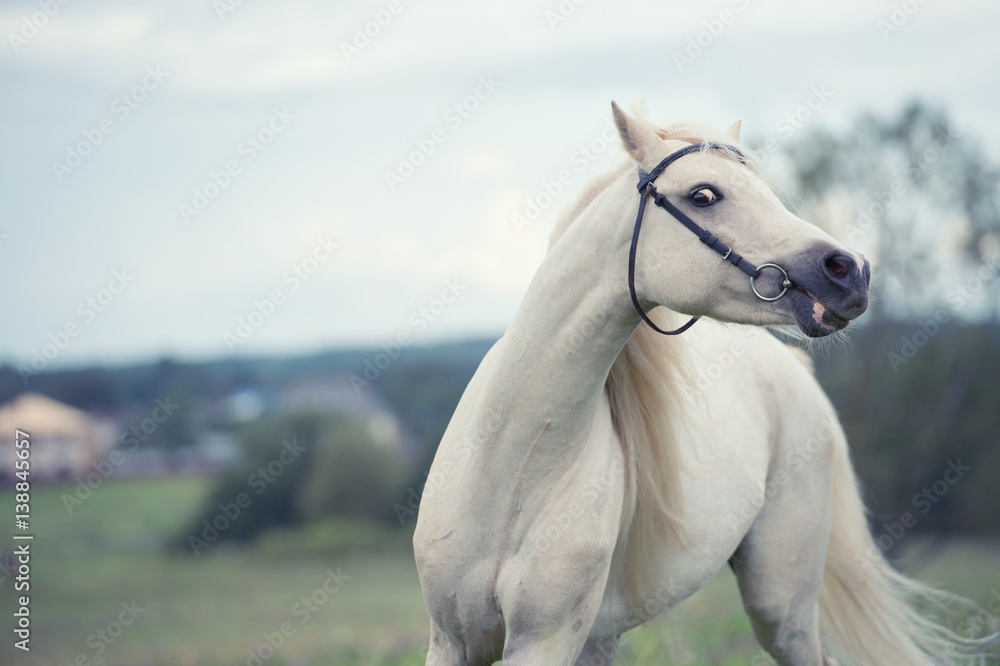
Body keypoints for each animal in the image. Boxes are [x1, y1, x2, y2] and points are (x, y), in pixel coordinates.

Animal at [413, 102, 989, 665]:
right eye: (704, 195)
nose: (852, 271)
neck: (512, 468)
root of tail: (793, 369)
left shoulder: (542, 642)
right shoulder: (451, 641)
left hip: (782, 611)